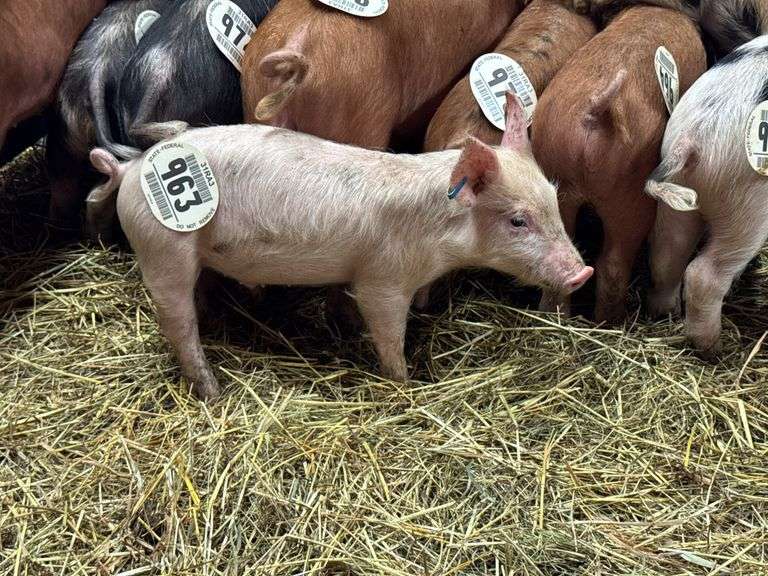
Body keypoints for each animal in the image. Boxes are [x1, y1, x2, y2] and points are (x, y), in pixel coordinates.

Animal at [87, 96, 592, 400]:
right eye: (518, 220)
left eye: (553, 200)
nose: (582, 273)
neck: (436, 234)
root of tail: (132, 169)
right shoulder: (383, 278)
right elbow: (387, 332)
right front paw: (405, 385)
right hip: (161, 247)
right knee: (176, 323)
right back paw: (214, 392)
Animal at [645, 35, 768, 355]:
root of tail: (694, 137)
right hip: (747, 206)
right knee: (704, 275)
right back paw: (714, 348)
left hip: (680, 199)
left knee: (666, 253)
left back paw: (665, 311)